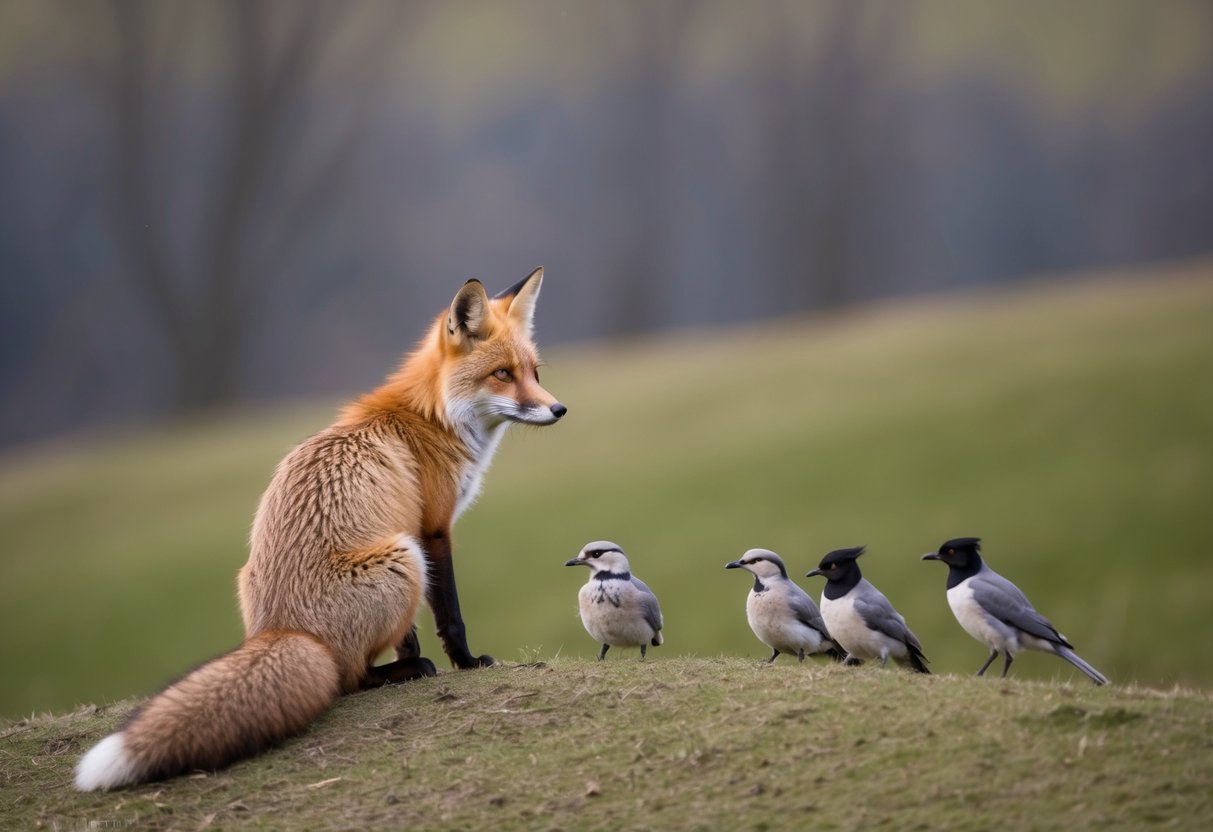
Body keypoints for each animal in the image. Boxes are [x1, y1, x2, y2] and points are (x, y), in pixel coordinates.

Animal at [75, 268, 566, 791]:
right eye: (502, 375)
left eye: (534, 373)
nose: (559, 409)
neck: (432, 418)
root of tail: (286, 630)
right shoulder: (432, 528)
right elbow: (450, 615)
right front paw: (468, 663)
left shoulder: (419, 533)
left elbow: (409, 631)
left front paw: (421, 652)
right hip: (402, 557)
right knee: (347, 680)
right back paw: (409, 670)